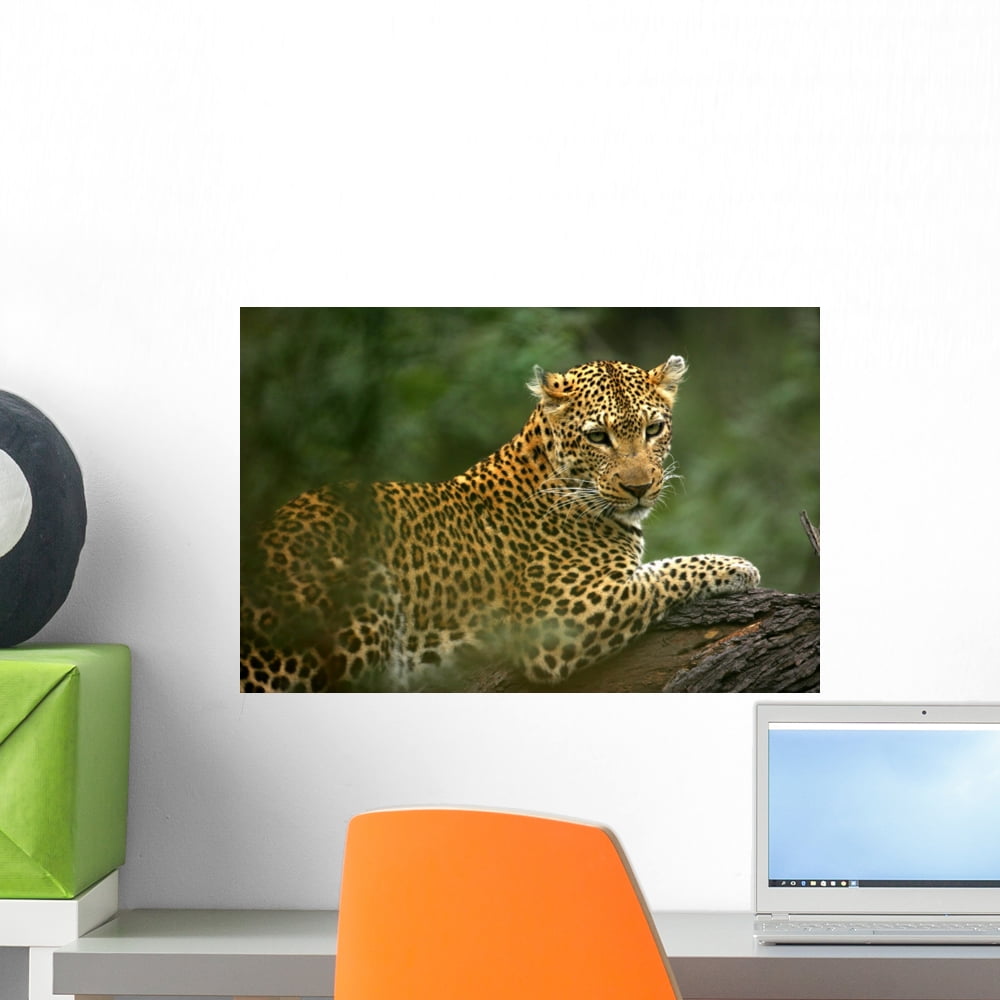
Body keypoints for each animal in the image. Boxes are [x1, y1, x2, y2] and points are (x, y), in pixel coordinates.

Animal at [240, 356, 760, 692]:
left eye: (654, 429)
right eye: (598, 437)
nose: (639, 488)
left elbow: (657, 568)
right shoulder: (559, 617)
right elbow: (663, 573)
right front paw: (736, 567)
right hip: (365, 580)